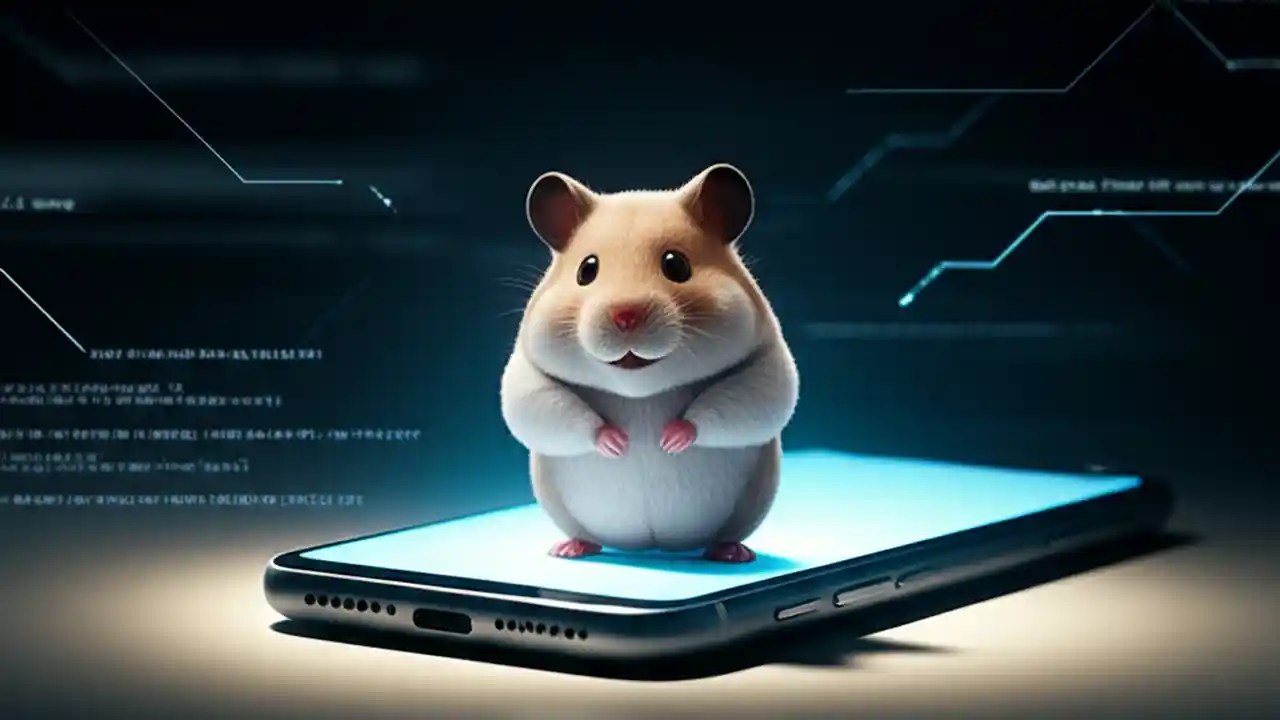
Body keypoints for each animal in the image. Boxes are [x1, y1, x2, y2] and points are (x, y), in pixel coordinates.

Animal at [500, 163, 799, 563]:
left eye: (676, 265)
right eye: (586, 270)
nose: (625, 315)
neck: (638, 390)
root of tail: (652, 546)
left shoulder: (765, 362)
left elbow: (743, 402)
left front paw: (668, 439)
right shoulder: (527, 374)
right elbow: (546, 409)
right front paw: (618, 443)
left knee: (726, 535)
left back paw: (732, 552)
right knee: (584, 534)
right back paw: (568, 549)